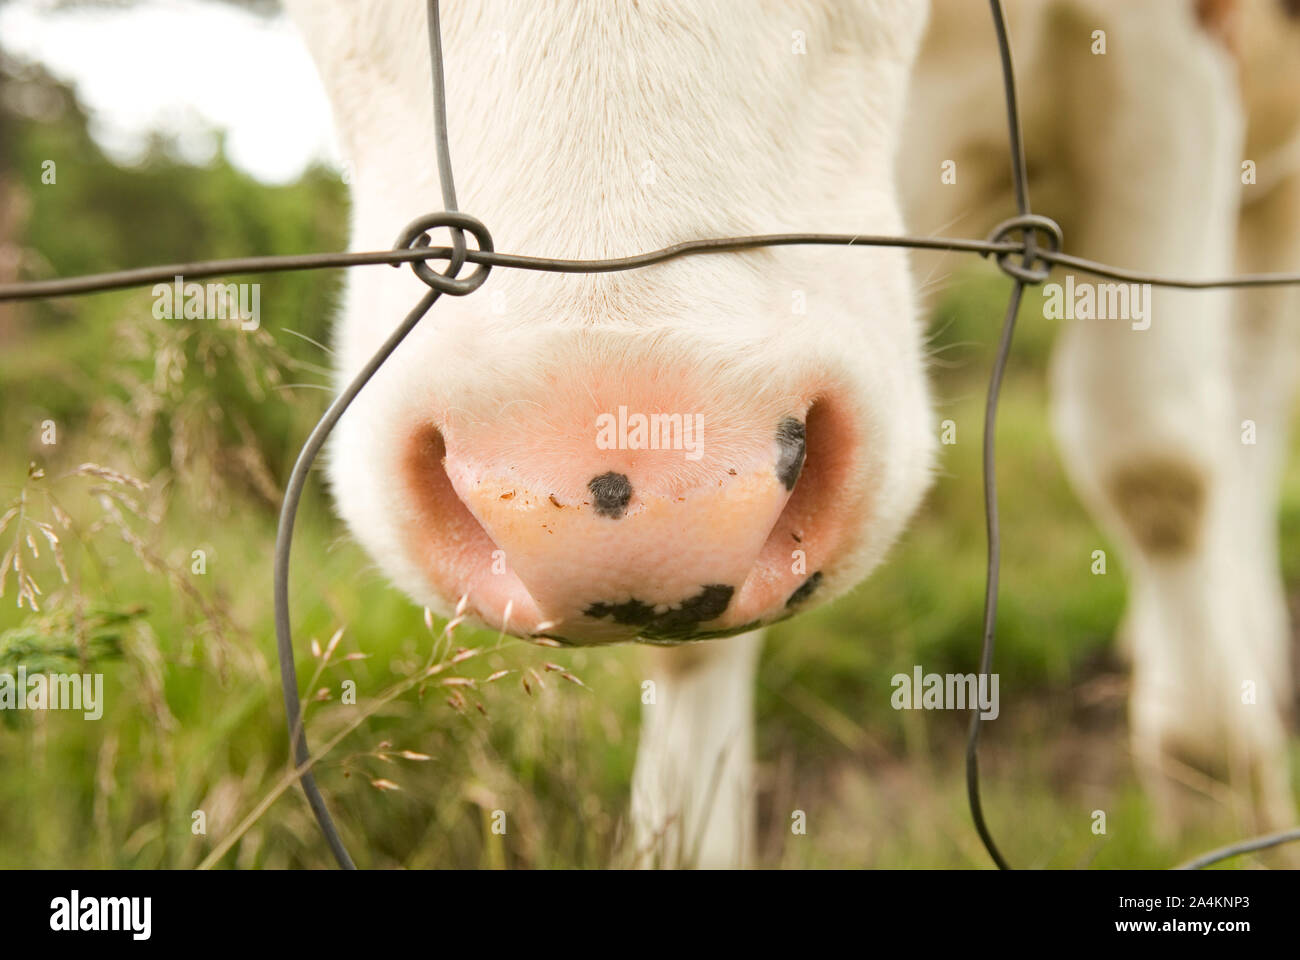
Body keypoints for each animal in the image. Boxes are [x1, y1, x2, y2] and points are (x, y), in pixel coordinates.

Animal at [286, 0, 1300, 866]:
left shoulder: (1174, 56)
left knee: (1245, 411)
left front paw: (1210, 785)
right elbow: (695, 654)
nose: (643, 510)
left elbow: (1154, 460)